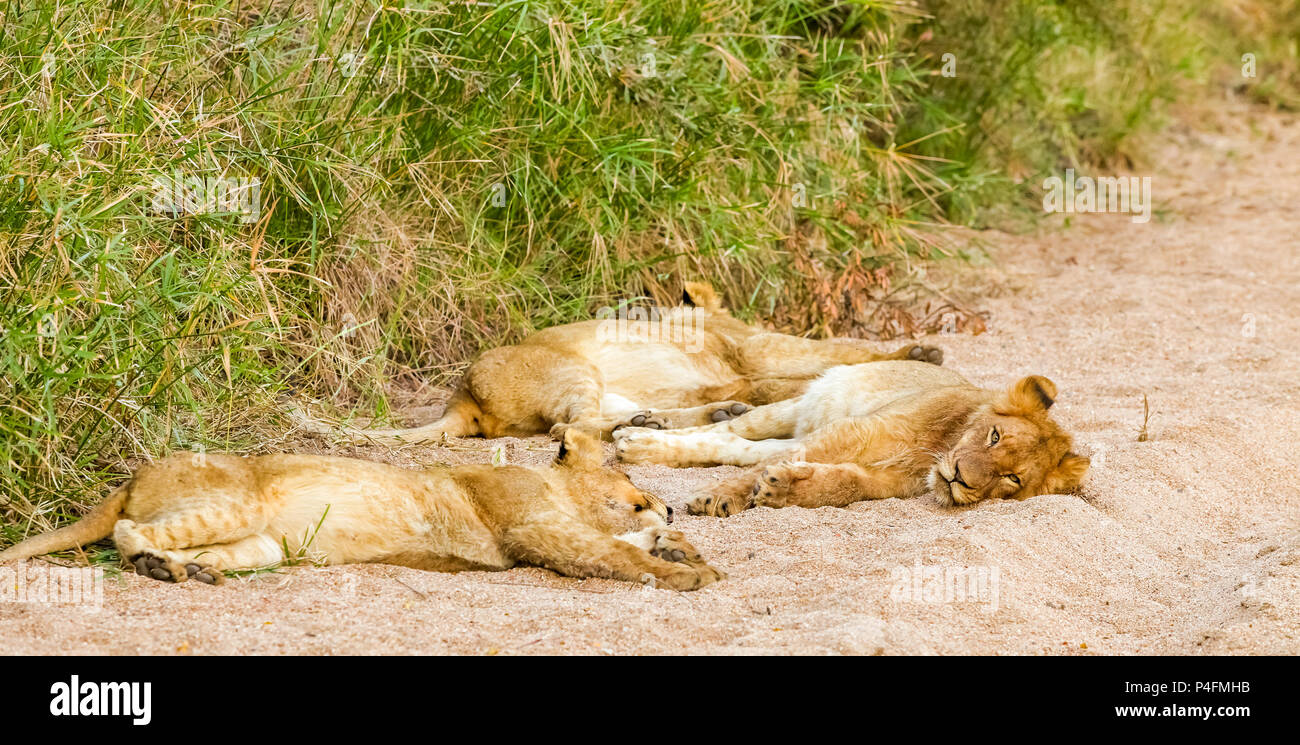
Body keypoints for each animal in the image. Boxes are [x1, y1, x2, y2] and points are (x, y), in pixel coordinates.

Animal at [612, 360, 1090, 516]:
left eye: (1012, 479)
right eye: (993, 436)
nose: (959, 479)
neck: (934, 452)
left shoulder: (886, 480)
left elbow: (843, 485)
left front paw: (783, 489)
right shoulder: (857, 430)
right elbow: (750, 468)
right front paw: (720, 497)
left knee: (742, 446)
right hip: (811, 402)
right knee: (727, 431)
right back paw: (639, 433)